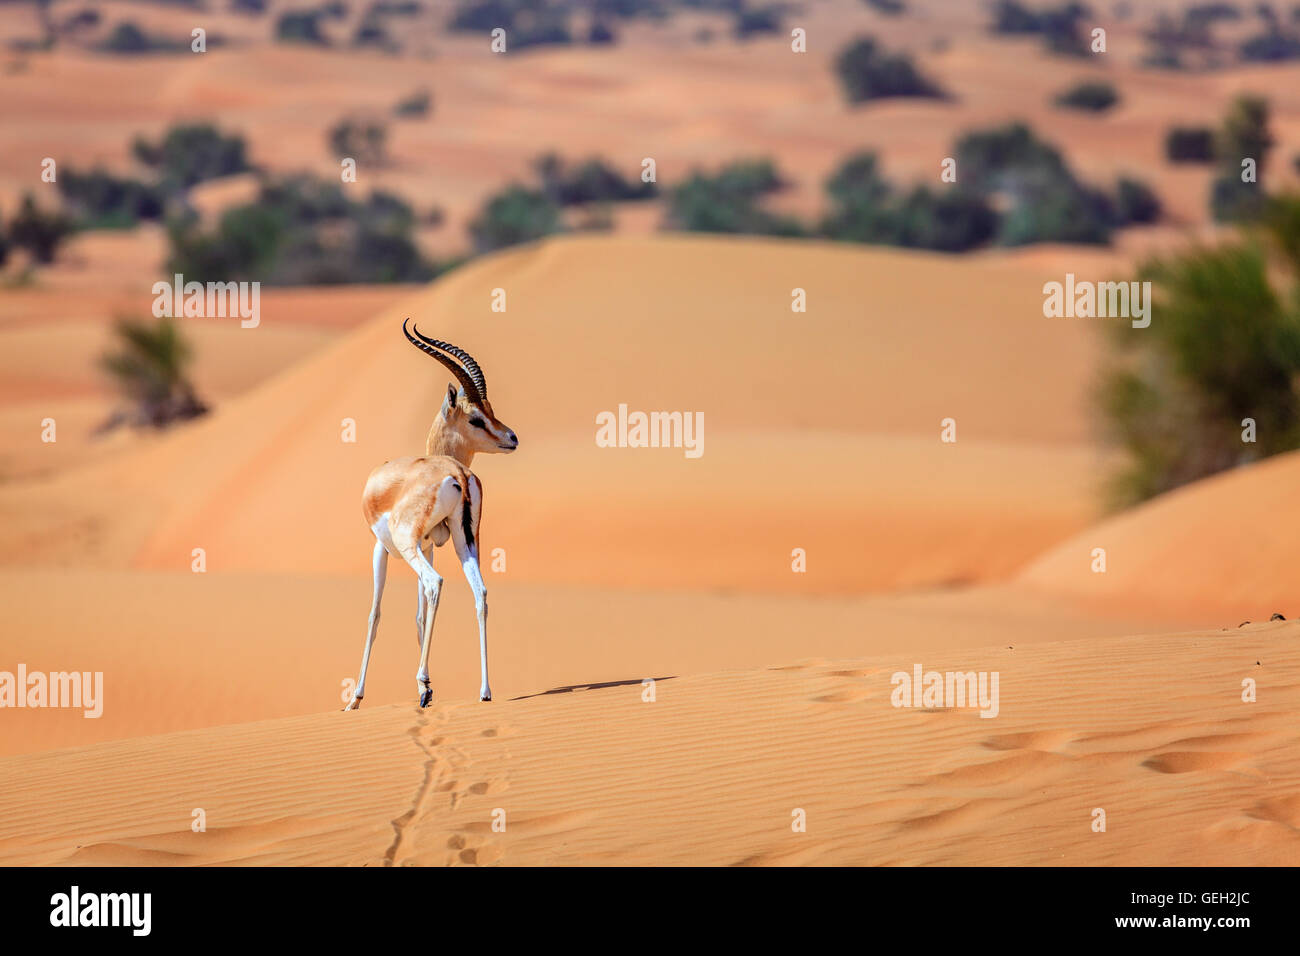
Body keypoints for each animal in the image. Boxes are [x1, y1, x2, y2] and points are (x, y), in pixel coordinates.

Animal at [344, 319, 518, 711]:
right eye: (477, 416)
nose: (512, 437)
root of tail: (459, 474)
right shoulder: (430, 544)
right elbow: (420, 615)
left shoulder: (381, 547)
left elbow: (374, 614)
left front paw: (356, 699)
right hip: (465, 542)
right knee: (480, 593)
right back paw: (484, 691)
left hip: (410, 547)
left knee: (436, 583)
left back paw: (425, 684)